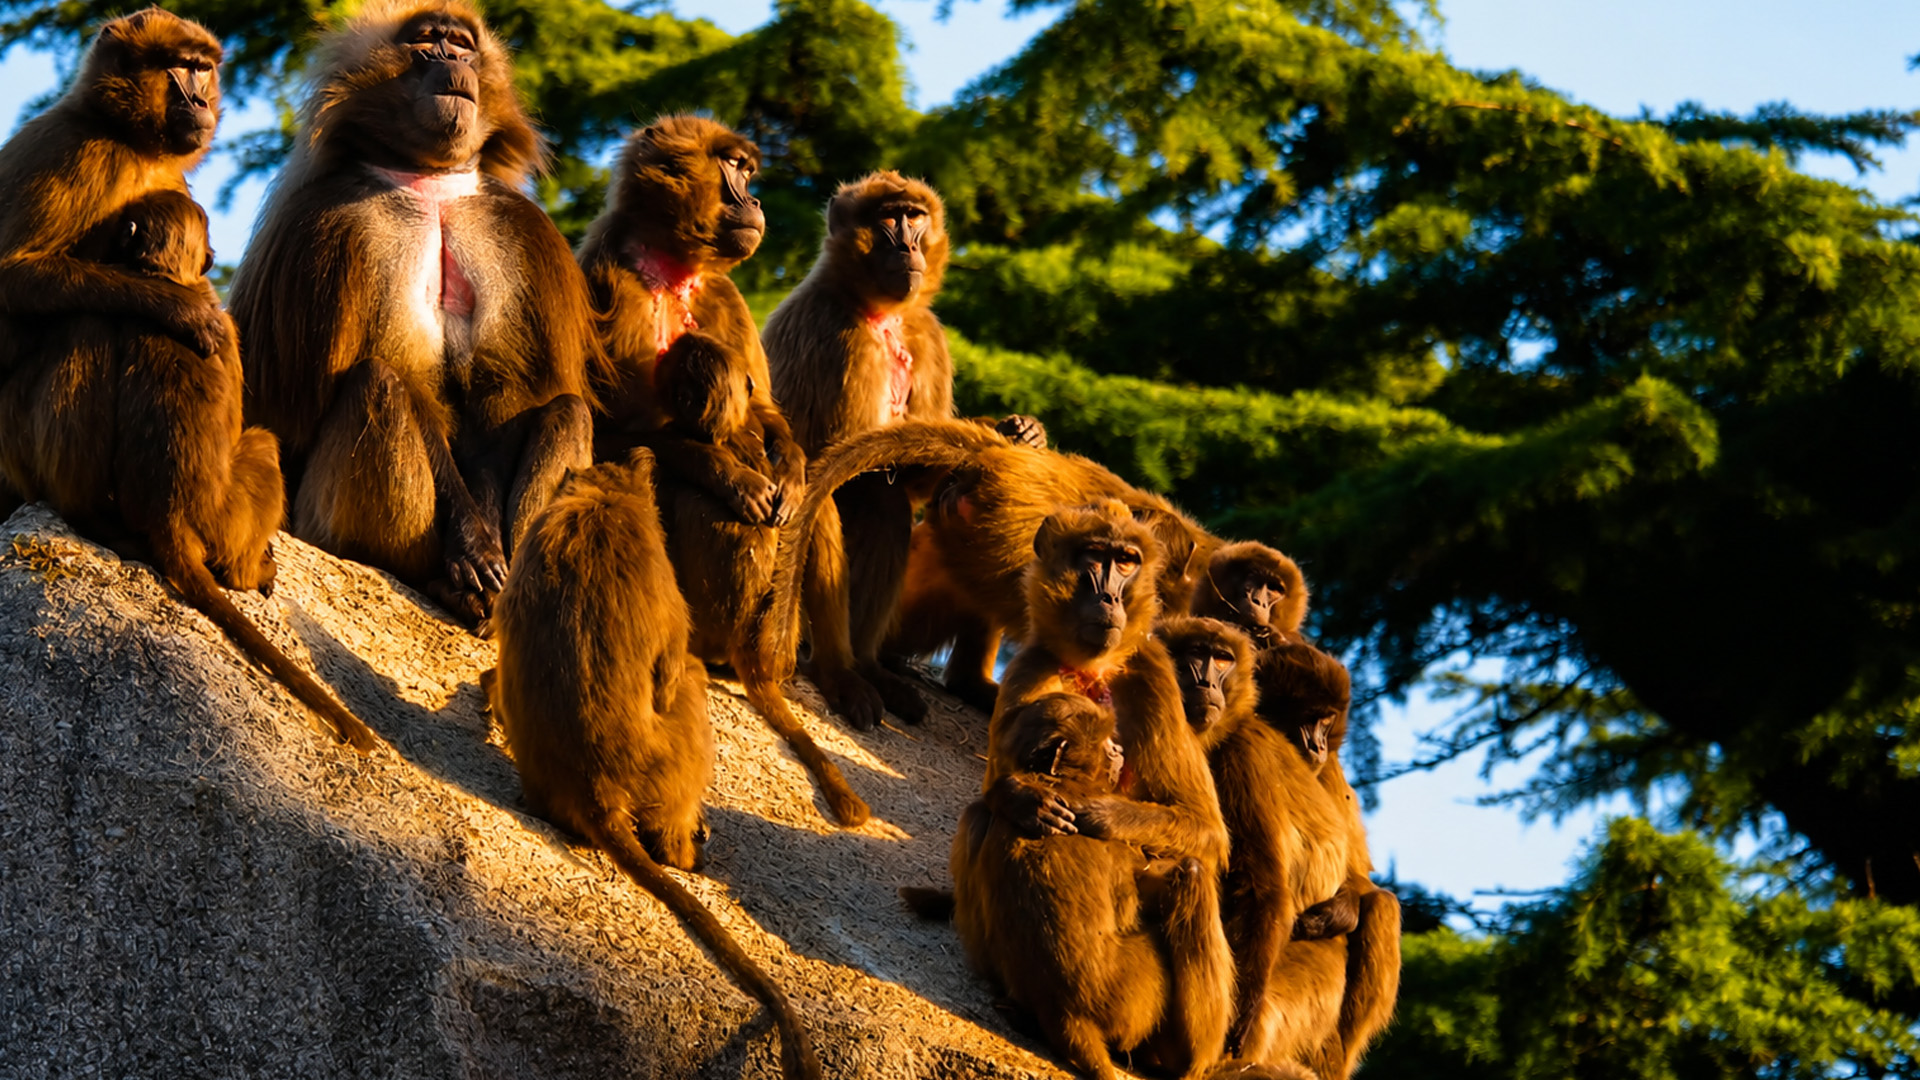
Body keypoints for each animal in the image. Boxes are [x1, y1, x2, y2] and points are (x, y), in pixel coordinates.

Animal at [0, 18, 379, 754]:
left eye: (206, 68)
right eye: (181, 66)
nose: (201, 99)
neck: (126, 137)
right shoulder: (75, 154)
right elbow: (11, 274)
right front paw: (179, 310)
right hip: (17, 444)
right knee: (89, 321)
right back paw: (90, 514)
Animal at [229, 0, 593, 630]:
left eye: (461, 45)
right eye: (426, 42)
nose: (453, 62)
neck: (431, 184)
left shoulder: (519, 231)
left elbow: (502, 406)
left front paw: (486, 553)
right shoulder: (332, 227)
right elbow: (395, 381)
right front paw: (473, 545)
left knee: (569, 412)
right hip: (324, 521)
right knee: (380, 382)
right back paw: (443, 580)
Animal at [488, 450, 820, 1080]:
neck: (602, 501)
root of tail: (595, 791)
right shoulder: (665, 580)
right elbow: (670, 669)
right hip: (670, 752)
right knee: (689, 680)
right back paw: (684, 851)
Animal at [764, 172, 1045, 729]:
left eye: (914, 217)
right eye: (888, 218)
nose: (907, 245)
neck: (882, 314)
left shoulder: (927, 336)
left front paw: (1021, 433)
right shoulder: (837, 337)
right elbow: (841, 467)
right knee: (853, 503)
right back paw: (841, 671)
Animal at [1255, 640, 1402, 1079]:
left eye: (1326, 721)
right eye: (1309, 719)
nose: (1317, 745)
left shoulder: (1330, 769)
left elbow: (1359, 874)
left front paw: (1341, 910)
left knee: (1381, 905)